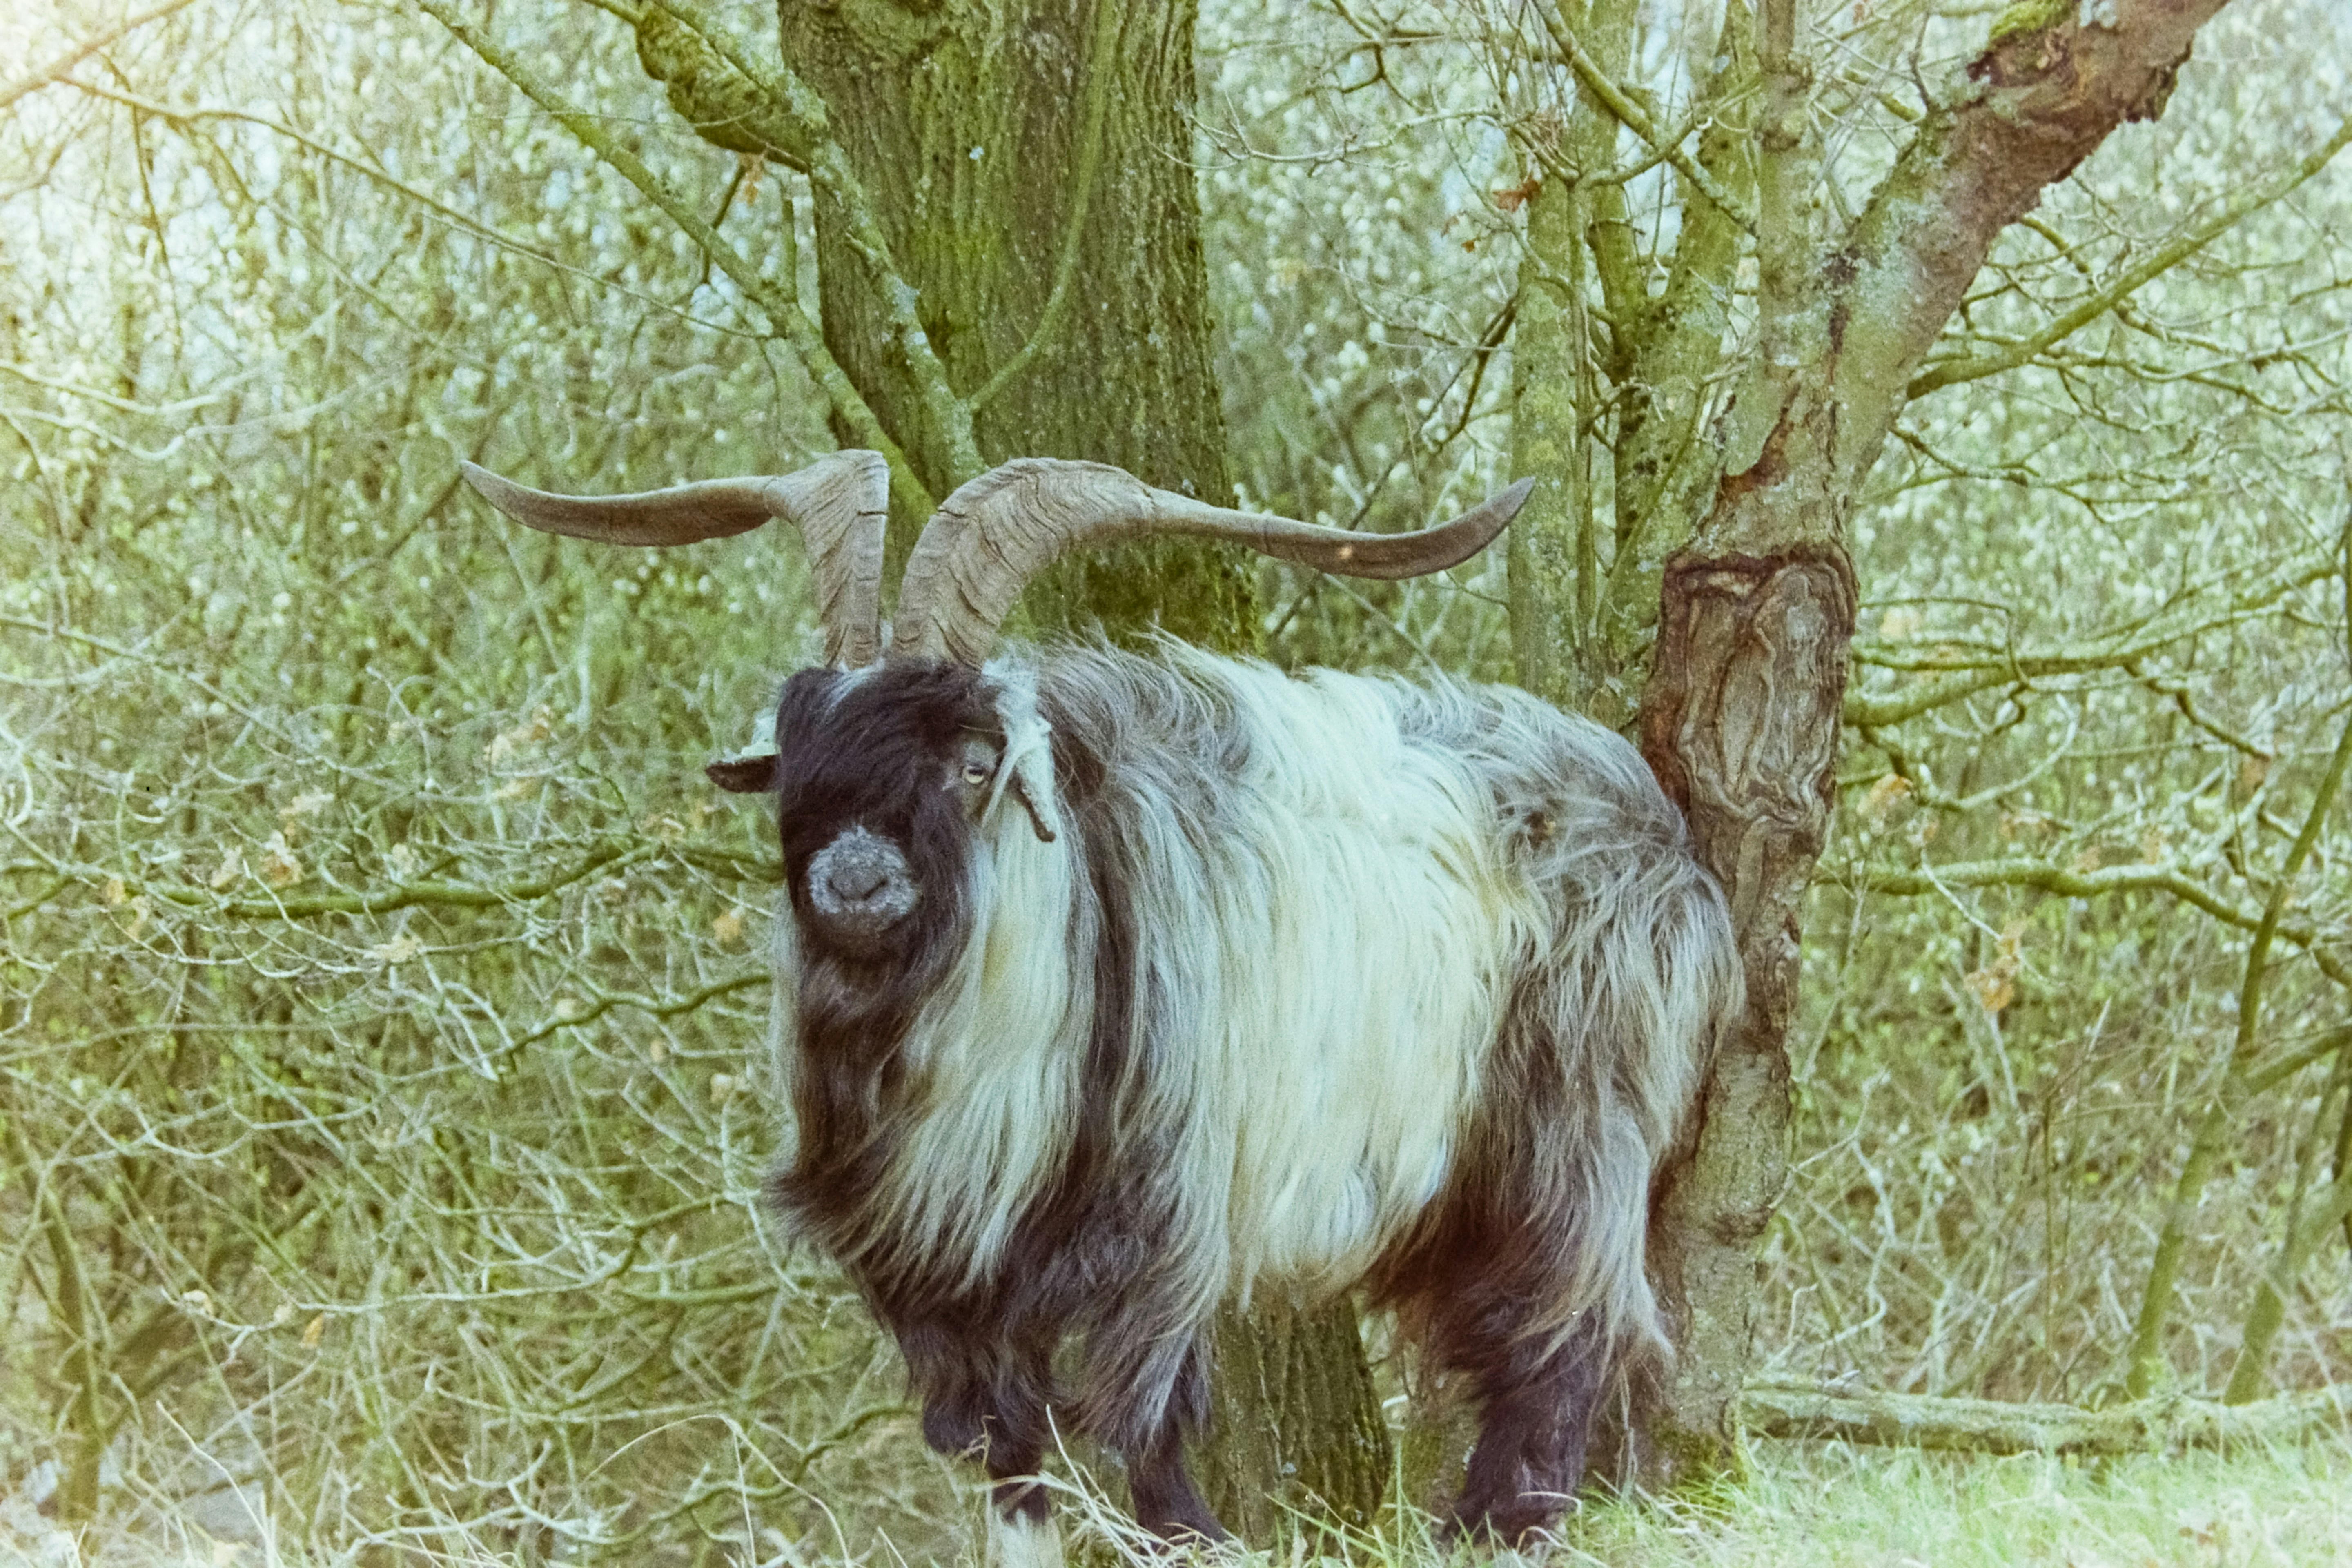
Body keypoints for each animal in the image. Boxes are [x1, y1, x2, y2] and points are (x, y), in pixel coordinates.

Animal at [462, 452, 1741, 1559]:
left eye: (974, 761)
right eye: (800, 760)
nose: (855, 884)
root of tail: (1658, 822)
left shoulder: (1165, 1227)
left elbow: (1150, 1434)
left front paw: (1197, 1538)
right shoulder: (949, 1285)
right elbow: (1011, 1462)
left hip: (1577, 1137)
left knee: (1564, 1336)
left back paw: (1507, 1528)